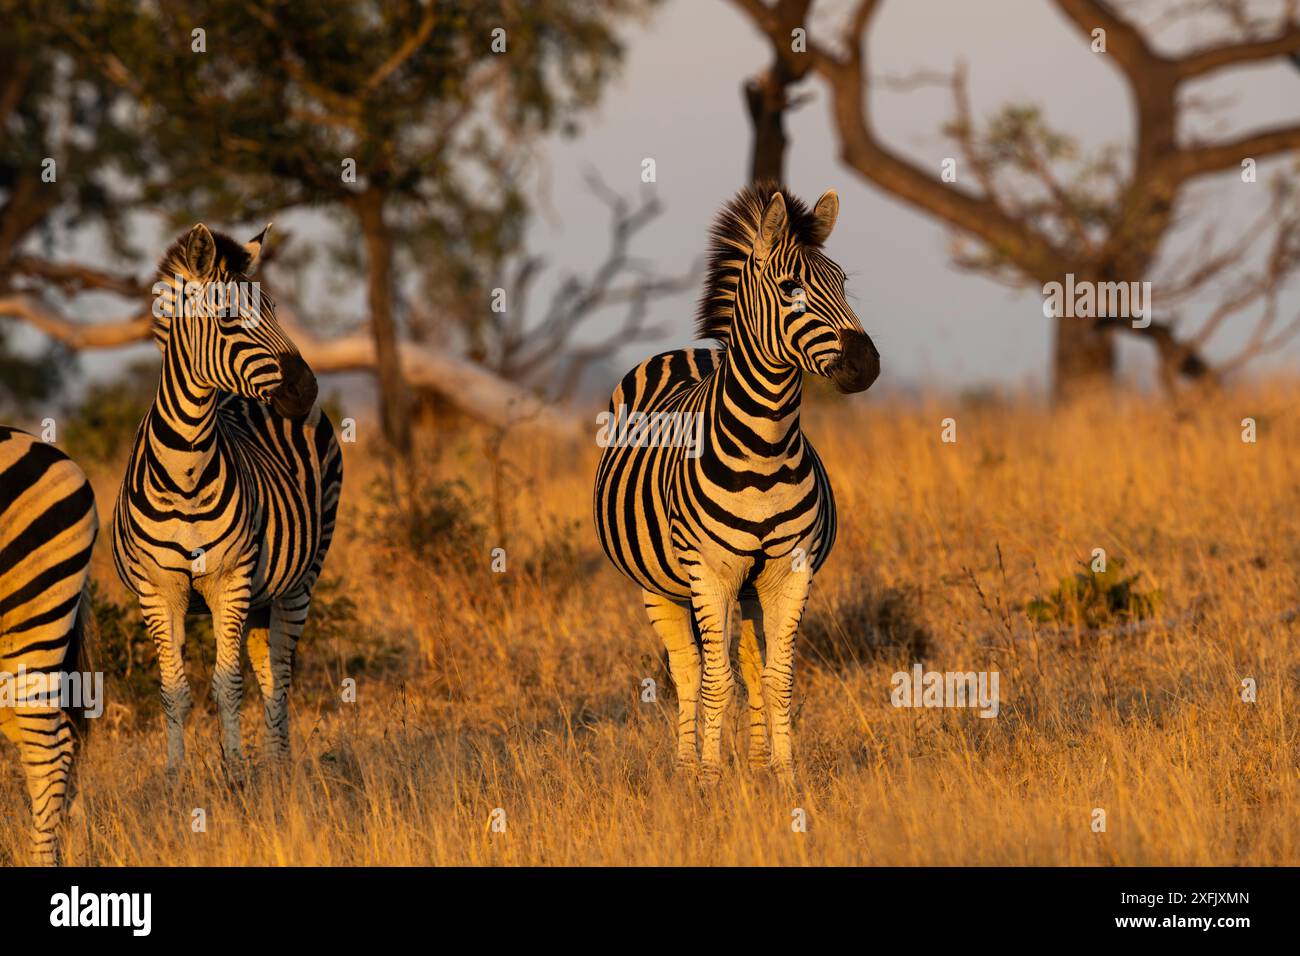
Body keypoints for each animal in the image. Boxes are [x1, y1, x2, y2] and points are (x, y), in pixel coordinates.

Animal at [113, 223, 343, 779]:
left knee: (279, 669)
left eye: (275, 308)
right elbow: (174, 690)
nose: (306, 390)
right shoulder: (158, 588)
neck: (186, 472)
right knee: (265, 661)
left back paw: (278, 766)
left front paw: (235, 770)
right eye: (229, 319)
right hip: (264, 589)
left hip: (302, 576)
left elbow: (228, 684)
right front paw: (176, 778)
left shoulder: (230, 578)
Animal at [593, 182, 880, 787]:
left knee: (745, 661)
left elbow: (776, 677)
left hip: (747, 587)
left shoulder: (787, 571)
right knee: (687, 669)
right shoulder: (709, 571)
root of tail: (686, 351)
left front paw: (785, 776)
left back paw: (753, 761)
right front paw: (708, 778)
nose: (865, 365)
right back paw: (686, 768)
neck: (764, 449)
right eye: (791, 289)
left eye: (842, 282)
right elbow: (712, 680)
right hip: (662, 585)